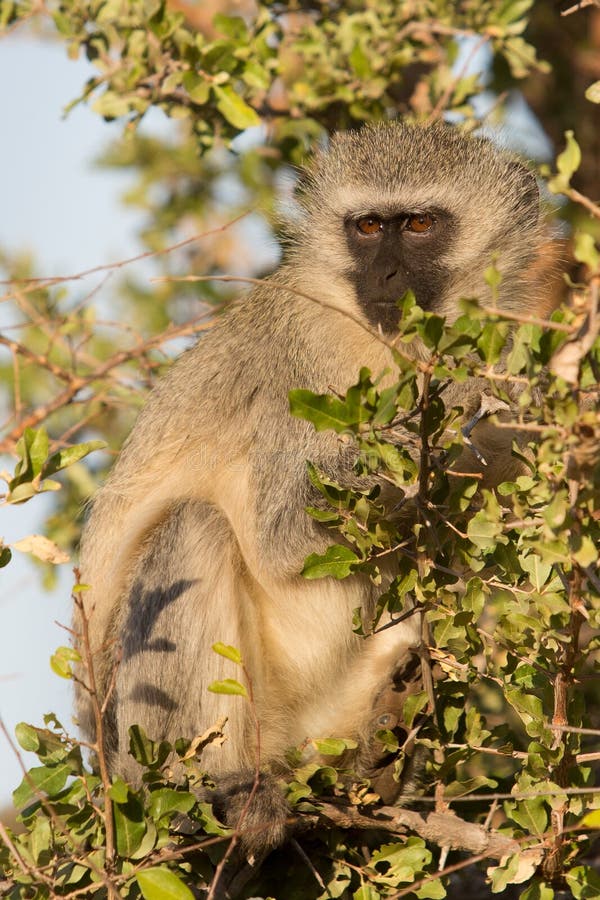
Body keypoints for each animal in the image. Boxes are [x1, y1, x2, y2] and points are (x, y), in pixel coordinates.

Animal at [76, 121, 551, 858]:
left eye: (419, 224)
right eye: (367, 226)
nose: (387, 276)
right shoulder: (299, 370)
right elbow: (281, 536)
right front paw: (454, 409)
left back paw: (381, 747)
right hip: (149, 746)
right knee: (193, 529)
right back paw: (218, 792)